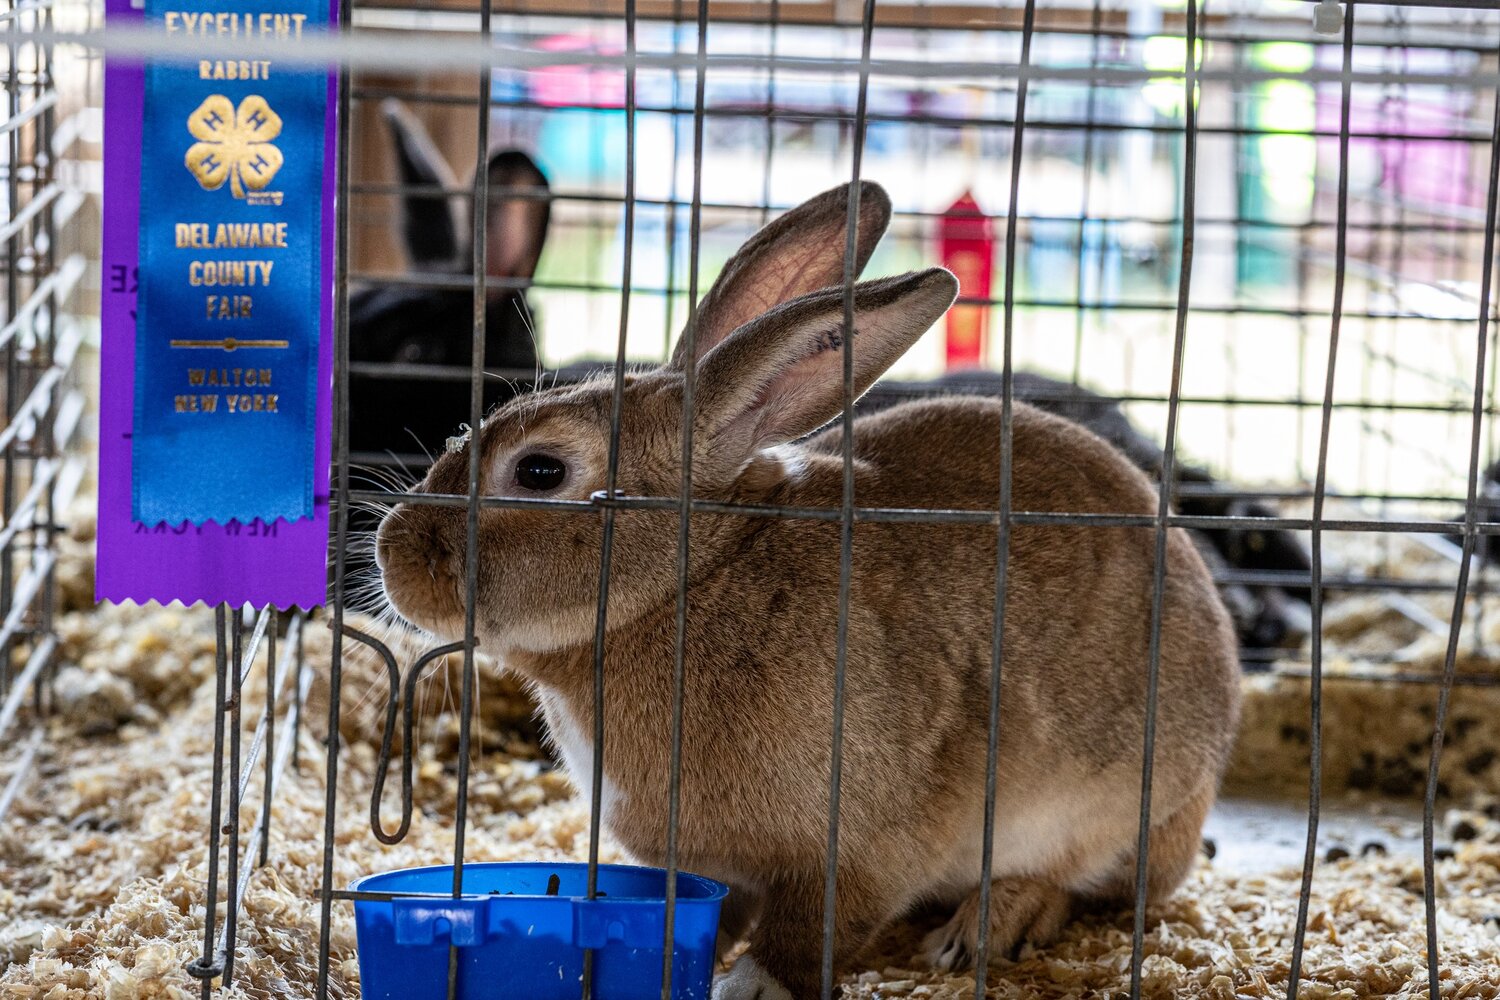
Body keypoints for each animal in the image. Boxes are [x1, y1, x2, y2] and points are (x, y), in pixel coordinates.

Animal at [376, 180, 1242, 1000]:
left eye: (540, 471)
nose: (390, 555)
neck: (689, 582)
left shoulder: (863, 843)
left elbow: (817, 922)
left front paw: (751, 984)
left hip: (1118, 810)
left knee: (1089, 885)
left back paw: (989, 925)